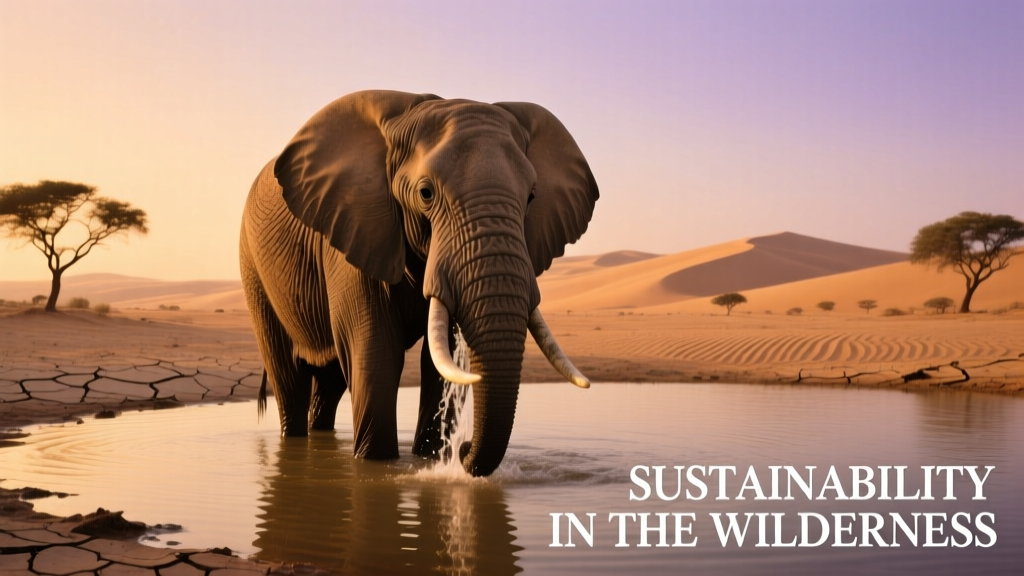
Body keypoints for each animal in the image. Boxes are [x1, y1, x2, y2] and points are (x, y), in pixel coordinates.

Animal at [239, 90, 598, 477]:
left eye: (532, 196)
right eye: (426, 194)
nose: (464, 450)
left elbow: (437, 363)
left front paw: (429, 460)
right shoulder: (355, 230)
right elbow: (376, 352)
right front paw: (376, 466)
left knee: (330, 382)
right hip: (253, 270)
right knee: (289, 378)